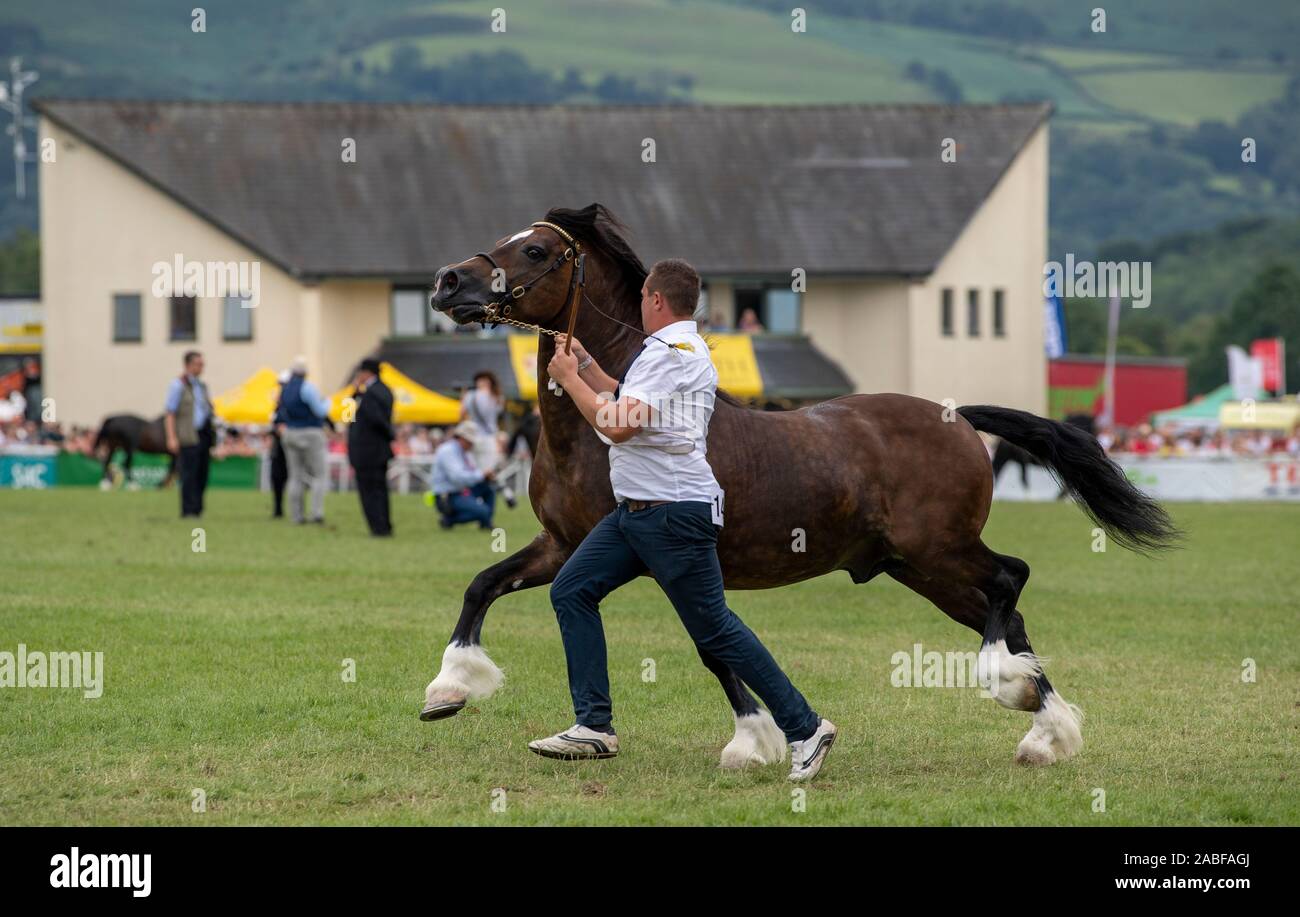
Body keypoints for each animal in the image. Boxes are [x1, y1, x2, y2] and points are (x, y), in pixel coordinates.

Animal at [420, 203, 1178, 768]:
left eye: (536, 251)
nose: (448, 283)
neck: (594, 431)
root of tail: (958, 416)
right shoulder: (566, 544)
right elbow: (482, 585)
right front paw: (448, 689)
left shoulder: (657, 554)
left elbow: (714, 643)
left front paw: (752, 743)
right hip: (916, 567)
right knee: (1009, 609)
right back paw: (1044, 732)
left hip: (938, 549)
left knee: (1009, 579)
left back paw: (1008, 685)